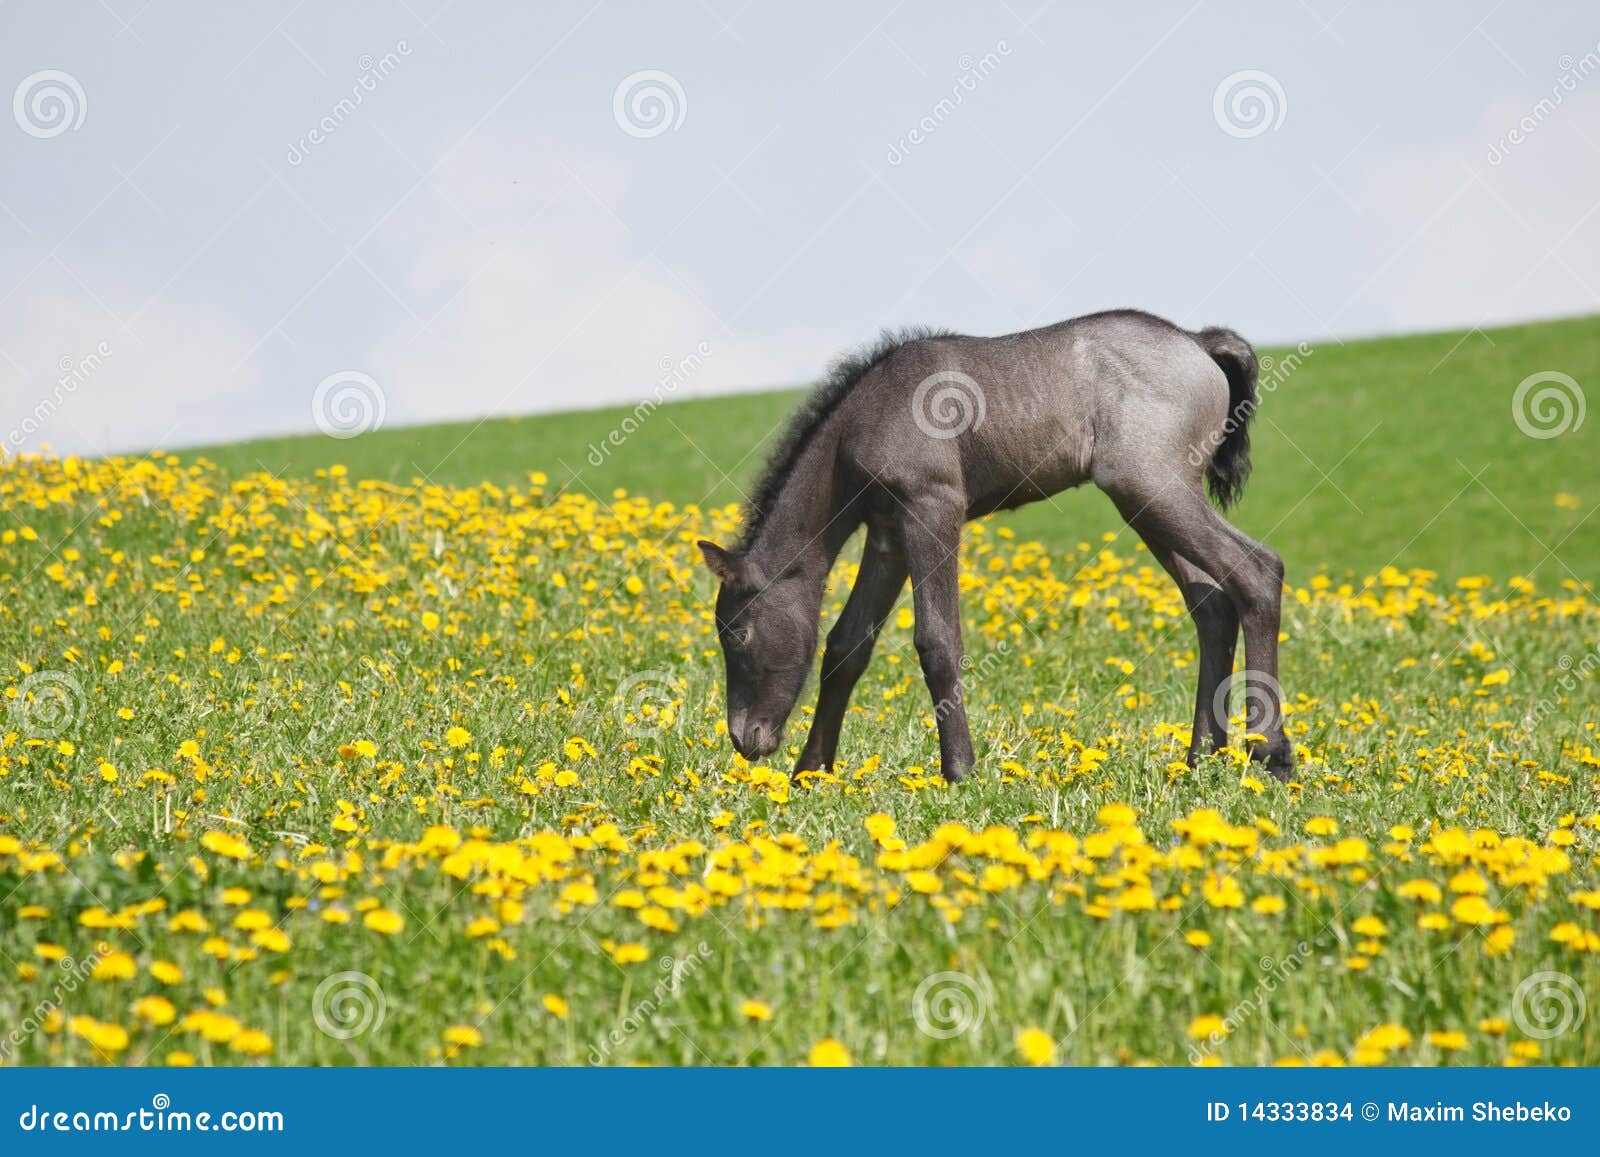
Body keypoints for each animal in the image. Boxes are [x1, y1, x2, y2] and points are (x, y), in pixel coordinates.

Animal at [697, 308, 1294, 784]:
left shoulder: (932, 508)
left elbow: (937, 641)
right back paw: (1202, 757)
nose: (745, 739)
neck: (862, 421)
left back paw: (1271, 754)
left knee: (1258, 571)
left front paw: (959, 769)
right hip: (1147, 502)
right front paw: (810, 772)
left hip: (1151, 487)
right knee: (1213, 604)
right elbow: (847, 646)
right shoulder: (889, 533)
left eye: (739, 633)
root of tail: (1198, 341)